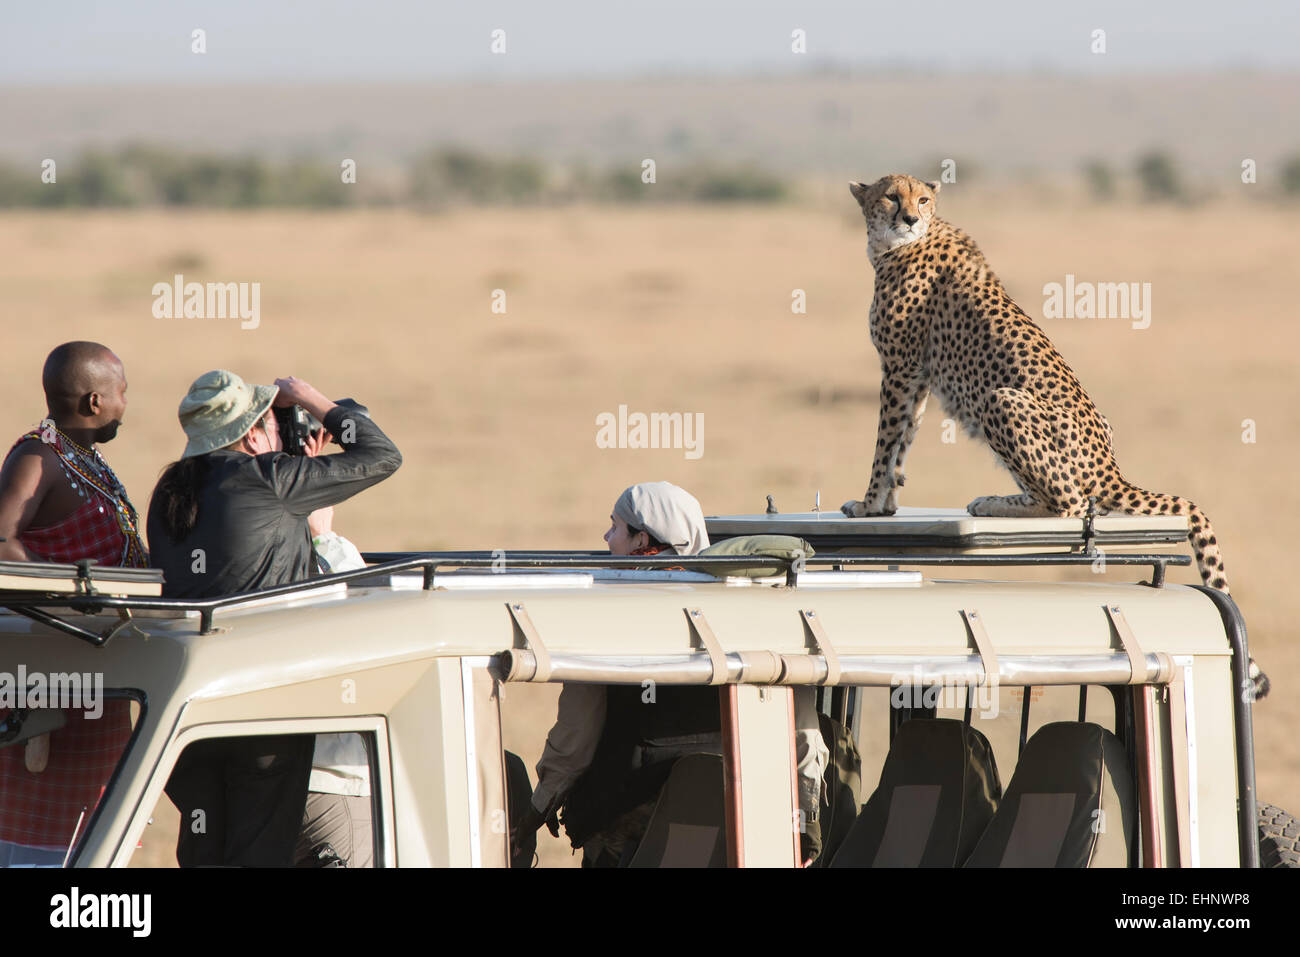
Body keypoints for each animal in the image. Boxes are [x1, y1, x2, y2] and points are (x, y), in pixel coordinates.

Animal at [838, 173, 1269, 698]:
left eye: (922, 199)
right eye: (890, 197)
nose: (910, 217)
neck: (894, 245)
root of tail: (1111, 467)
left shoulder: (901, 368)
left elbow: (885, 444)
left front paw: (869, 504)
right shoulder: (916, 375)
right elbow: (901, 444)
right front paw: (887, 504)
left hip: (1001, 399)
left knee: (1070, 503)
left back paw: (995, 504)